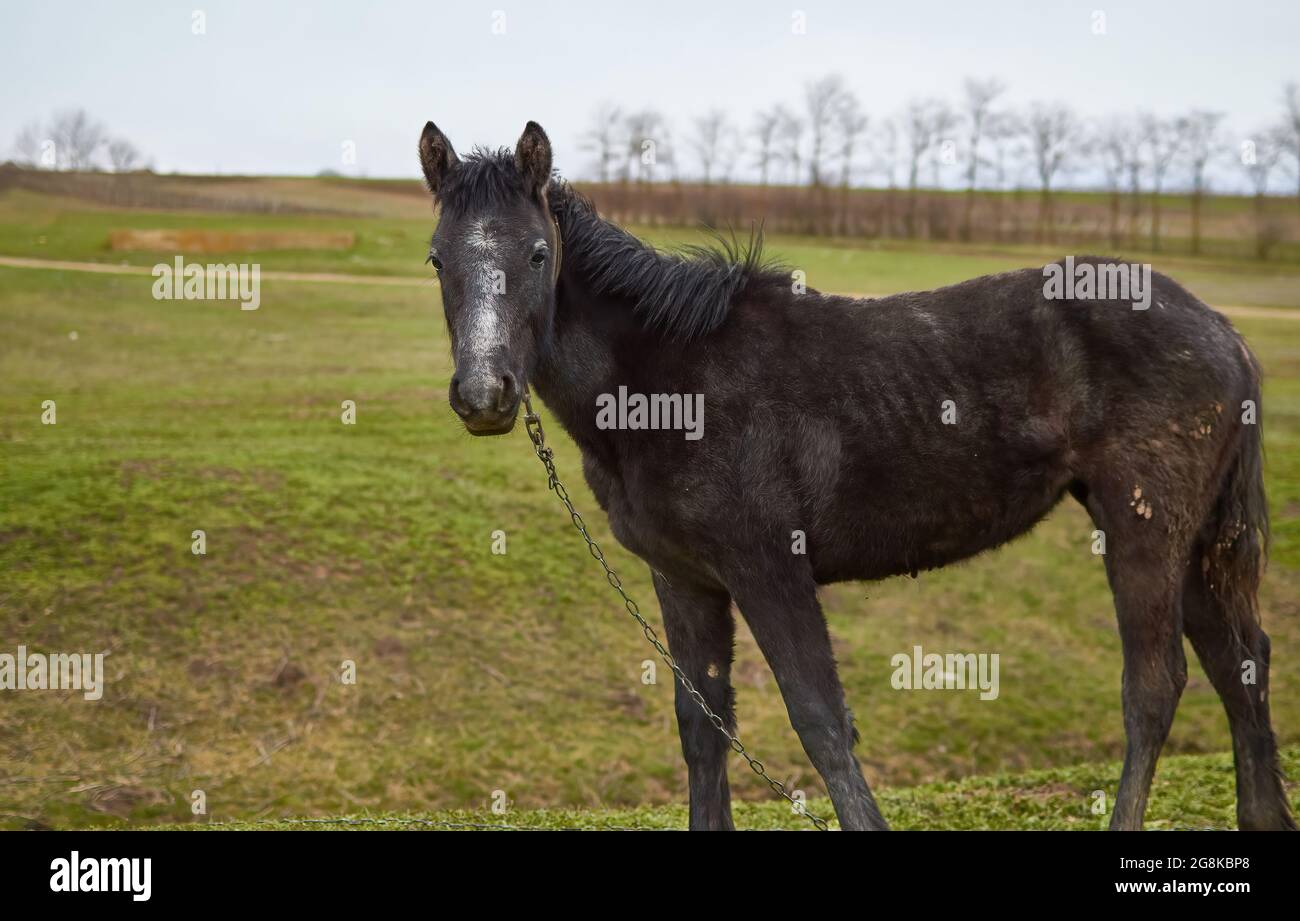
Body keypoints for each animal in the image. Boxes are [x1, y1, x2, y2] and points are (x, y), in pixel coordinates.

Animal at [417, 119, 1293, 831]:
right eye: (436, 259)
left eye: (537, 254)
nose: (485, 396)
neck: (668, 385)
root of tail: (1223, 329)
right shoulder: (685, 578)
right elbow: (703, 725)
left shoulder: (769, 565)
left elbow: (819, 719)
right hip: (1192, 537)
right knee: (1238, 662)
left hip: (1144, 527)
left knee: (1154, 685)